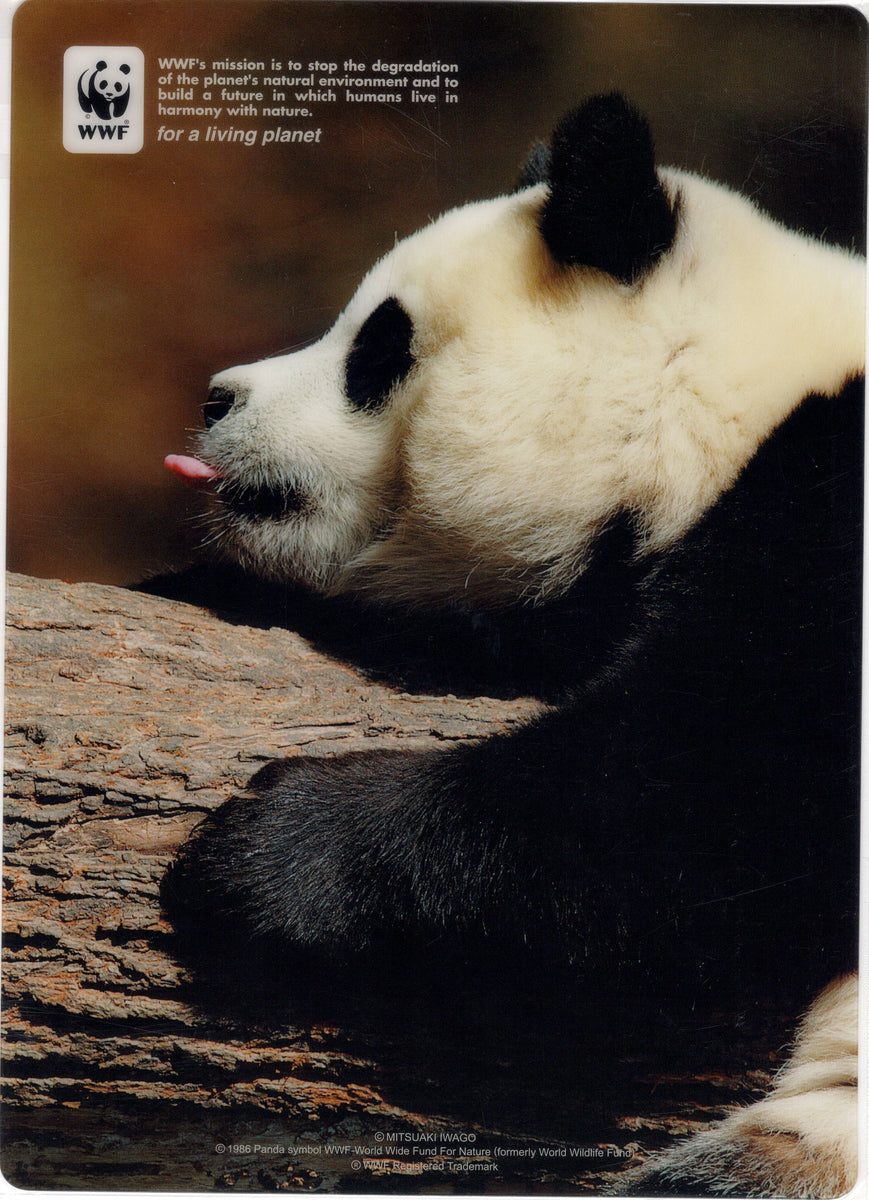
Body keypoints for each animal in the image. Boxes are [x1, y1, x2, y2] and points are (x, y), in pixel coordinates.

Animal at [162, 96, 863, 1196]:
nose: (215, 397)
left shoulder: (831, 506)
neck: (718, 397)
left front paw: (272, 842)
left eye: (379, 349)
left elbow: (732, 781)